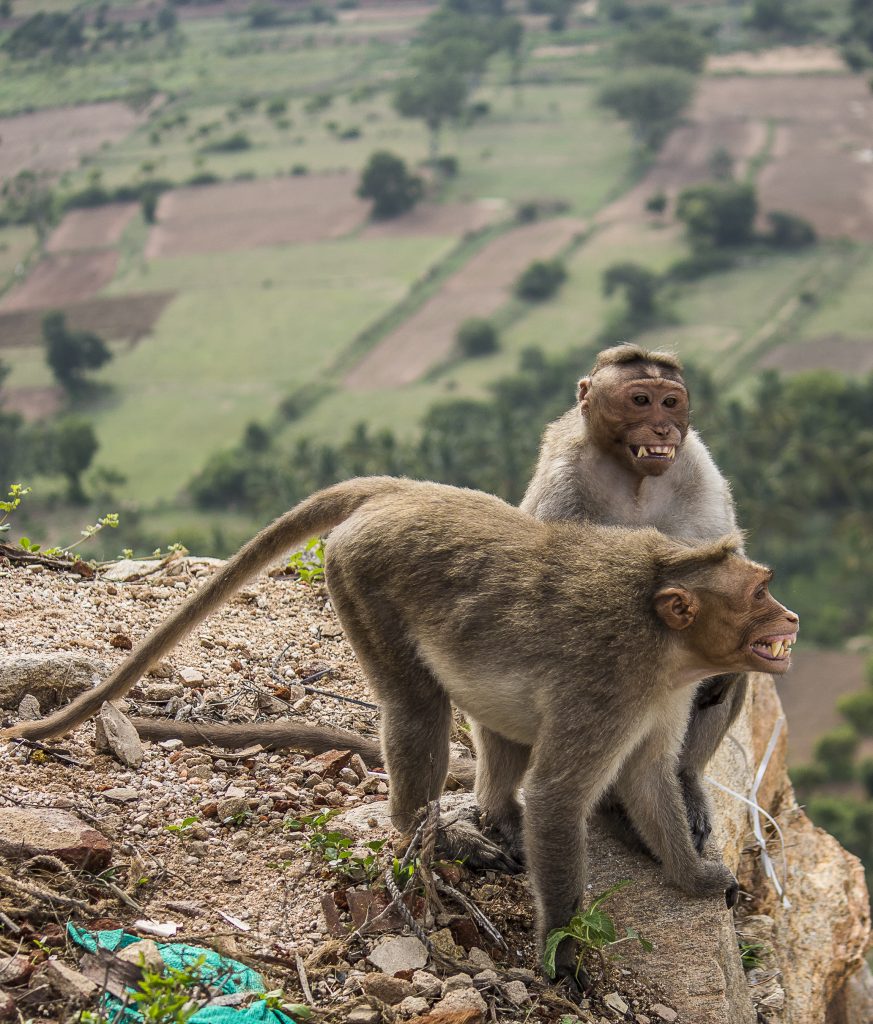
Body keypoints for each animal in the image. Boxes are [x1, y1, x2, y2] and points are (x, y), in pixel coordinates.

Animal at [1, 476, 798, 990]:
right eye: (760, 592)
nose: (788, 614)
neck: (663, 640)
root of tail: (399, 493)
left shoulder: (661, 694)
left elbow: (645, 778)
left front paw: (693, 875)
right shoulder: (609, 684)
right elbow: (558, 798)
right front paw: (564, 959)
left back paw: (492, 819)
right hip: (361, 580)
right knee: (419, 712)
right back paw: (429, 833)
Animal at [520, 343, 745, 855]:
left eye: (670, 402)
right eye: (640, 400)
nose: (662, 428)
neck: (632, 476)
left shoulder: (695, 462)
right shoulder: (563, 485)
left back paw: (685, 782)